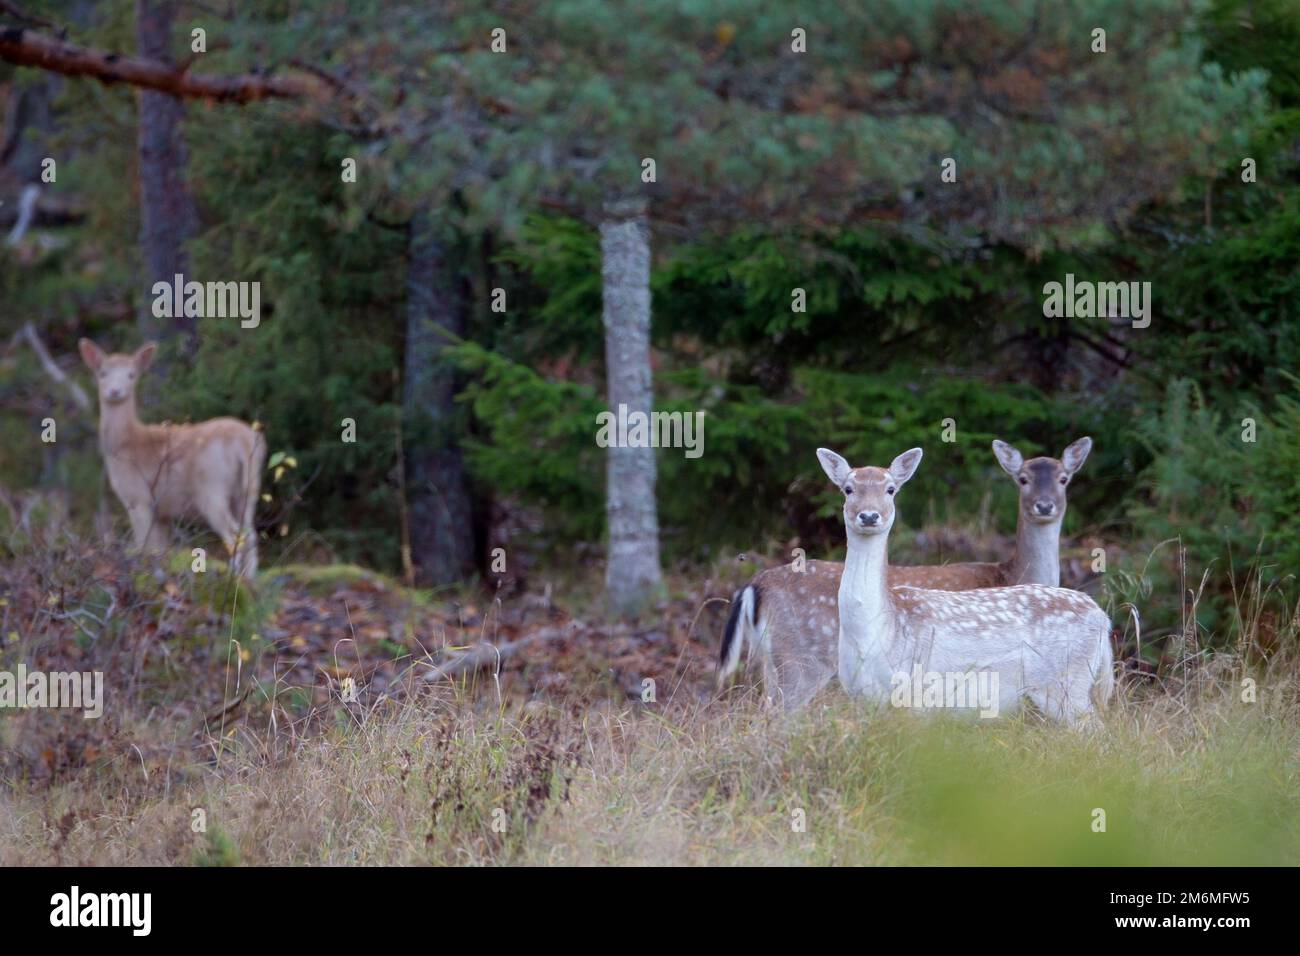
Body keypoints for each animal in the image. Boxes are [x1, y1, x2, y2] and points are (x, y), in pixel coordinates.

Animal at [79, 339, 266, 577]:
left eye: (131, 374)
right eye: (102, 373)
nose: (114, 391)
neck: (125, 445)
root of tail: (243, 443)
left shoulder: (138, 497)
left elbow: (145, 545)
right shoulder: (163, 511)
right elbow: (161, 548)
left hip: (210, 486)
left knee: (235, 535)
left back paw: (232, 578)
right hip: (249, 489)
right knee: (251, 534)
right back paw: (249, 579)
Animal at [717, 437, 1092, 710]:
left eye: (1063, 479)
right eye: (1023, 479)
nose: (1044, 505)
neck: (1010, 572)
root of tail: (757, 583)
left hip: (772, 660)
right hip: (800, 659)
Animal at [823, 446, 1112, 724]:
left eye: (891, 489)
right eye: (848, 489)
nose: (869, 516)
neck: (878, 632)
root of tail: (1102, 618)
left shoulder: (916, 696)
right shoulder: (861, 698)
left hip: (1065, 682)